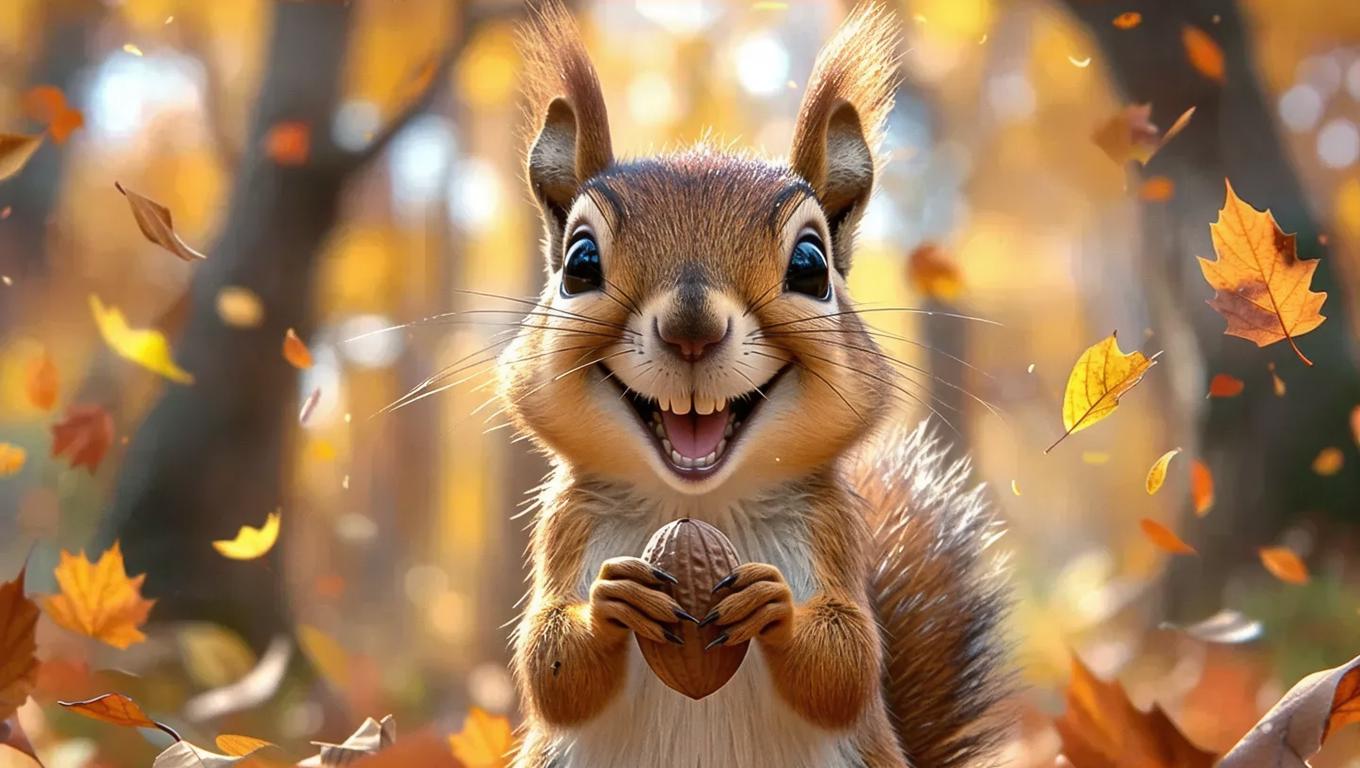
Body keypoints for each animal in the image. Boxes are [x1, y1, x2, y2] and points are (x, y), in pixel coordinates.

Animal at [499, 4, 1012, 767]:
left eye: (811, 266)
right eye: (579, 264)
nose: (692, 329)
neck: (698, 503)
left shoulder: (832, 532)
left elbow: (847, 667)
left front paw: (775, 607)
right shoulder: (565, 525)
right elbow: (548, 667)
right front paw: (608, 600)